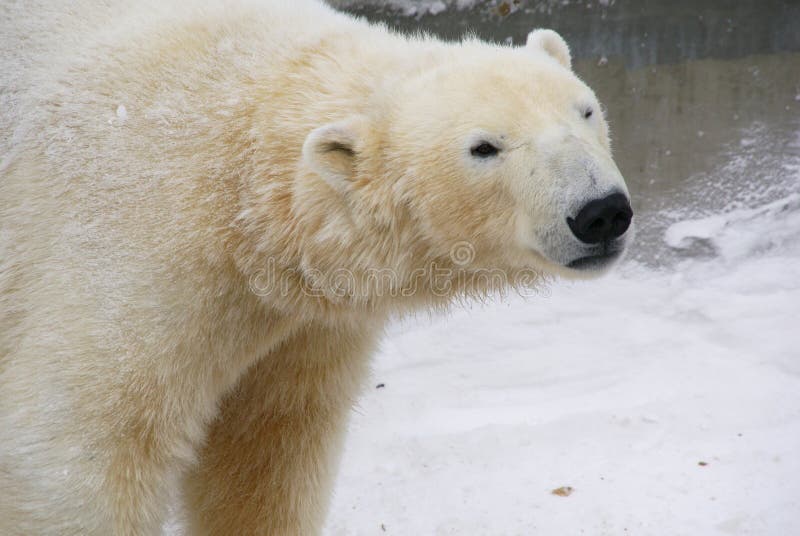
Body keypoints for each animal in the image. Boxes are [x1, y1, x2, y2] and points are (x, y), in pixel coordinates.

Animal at [0, 0, 633, 534]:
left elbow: (268, 448)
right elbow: (79, 455)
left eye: (585, 110)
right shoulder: (131, 245)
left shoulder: (302, 318)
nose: (600, 212)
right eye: (484, 147)